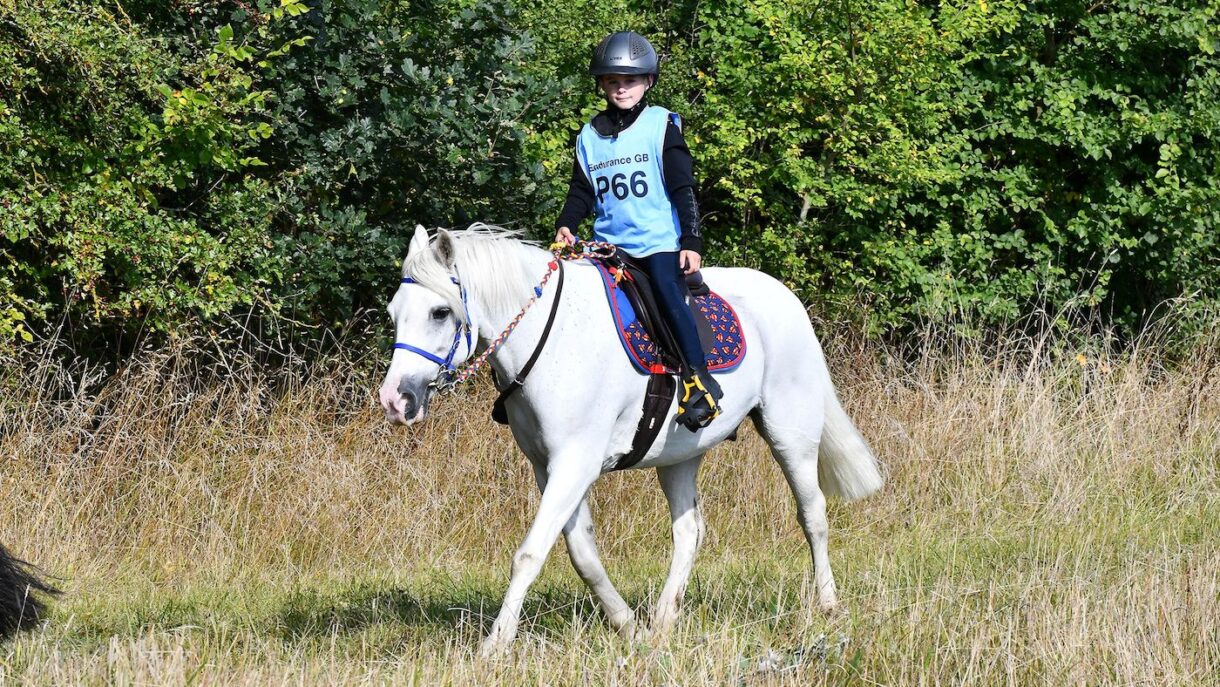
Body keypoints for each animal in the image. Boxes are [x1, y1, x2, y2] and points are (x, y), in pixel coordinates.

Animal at [378, 224, 883, 654]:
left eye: (441, 312)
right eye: (394, 314)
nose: (395, 400)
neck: (552, 339)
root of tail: (787, 298)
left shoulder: (574, 462)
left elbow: (529, 553)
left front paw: (494, 646)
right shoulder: (549, 467)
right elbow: (583, 554)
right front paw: (629, 628)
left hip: (790, 431)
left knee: (812, 514)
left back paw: (828, 604)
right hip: (680, 454)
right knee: (689, 531)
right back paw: (662, 620)